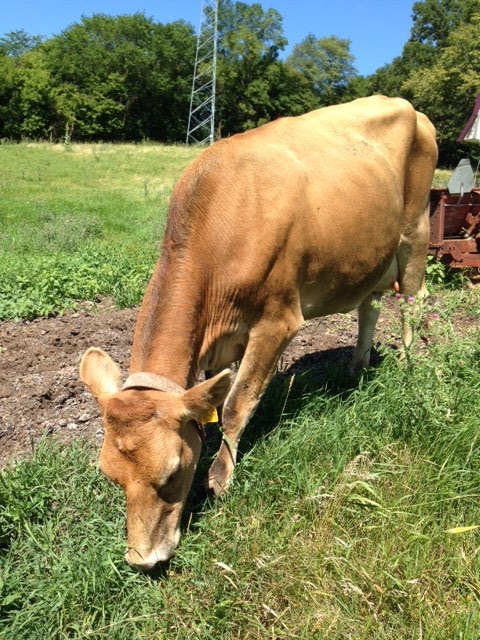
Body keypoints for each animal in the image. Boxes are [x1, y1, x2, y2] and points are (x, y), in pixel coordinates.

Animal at [80, 96, 437, 571]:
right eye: (109, 475)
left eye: (174, 472)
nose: (142, 560)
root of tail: (403, 104)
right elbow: (222, 398)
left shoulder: (278, 320)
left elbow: (236, 404)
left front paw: (220, 477)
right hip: (369, 256)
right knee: (370, 306)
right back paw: (356, 369)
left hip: (415, 235)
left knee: (414, 302)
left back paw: (411, 367)